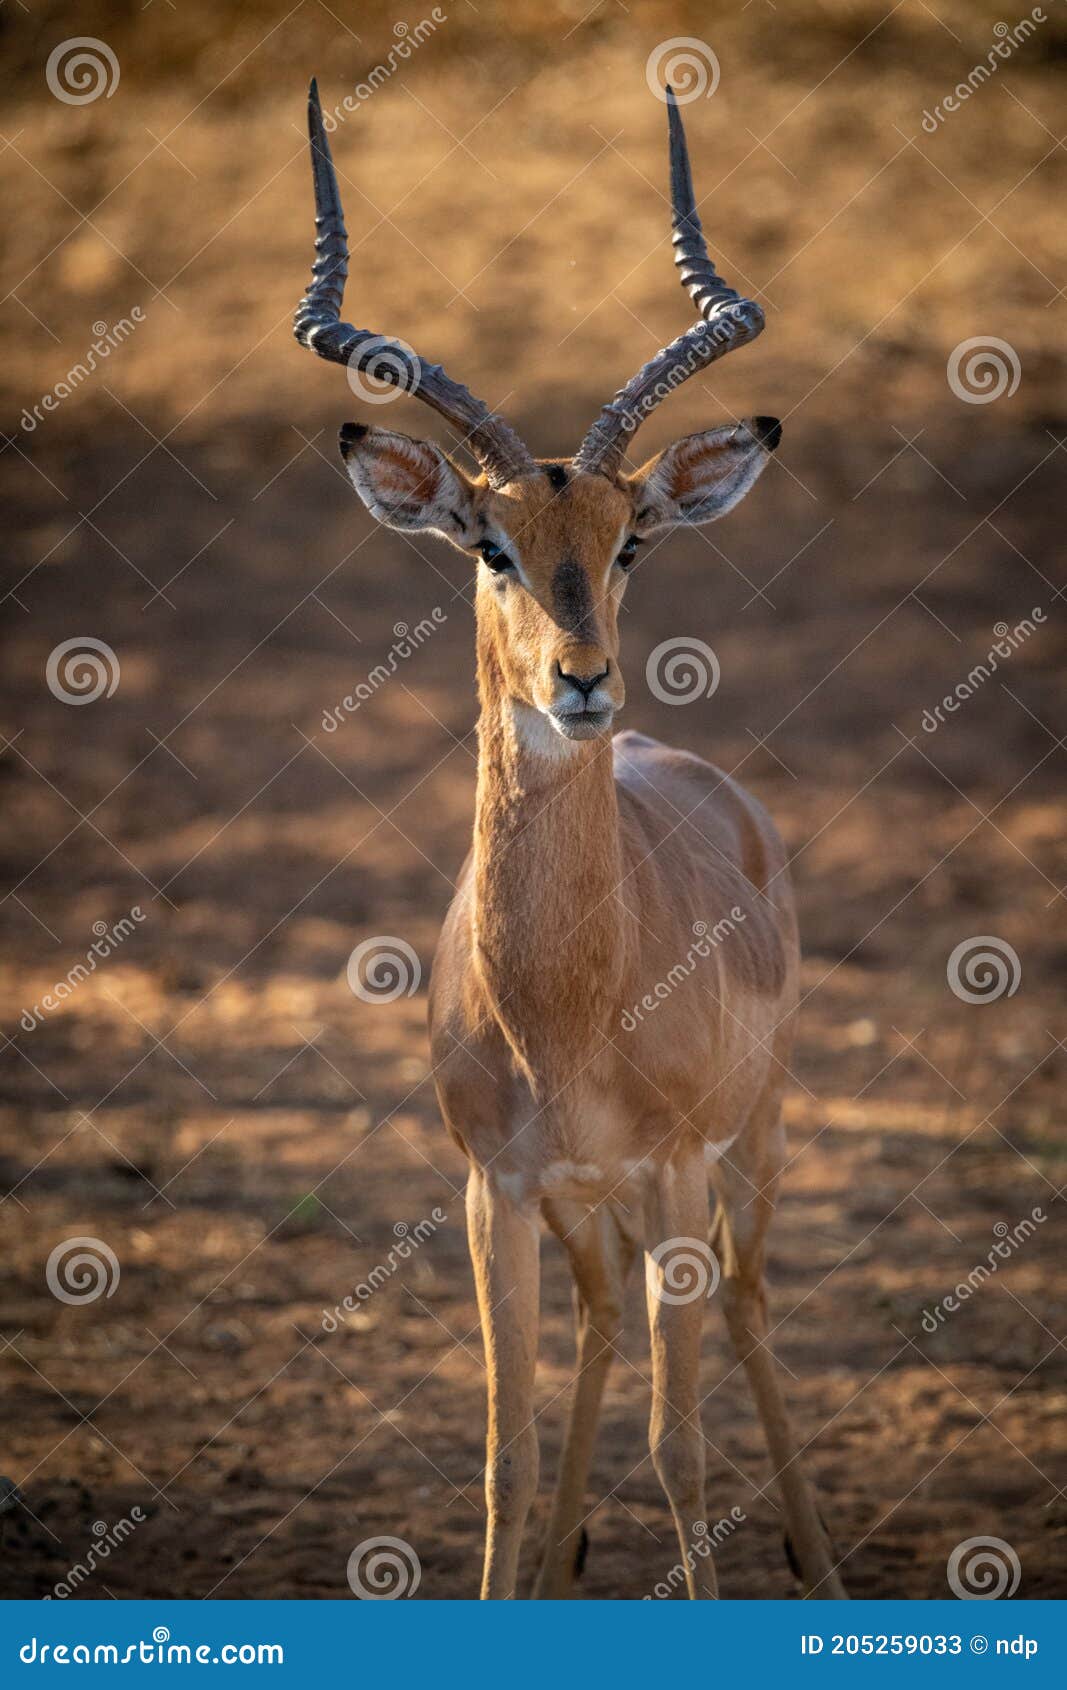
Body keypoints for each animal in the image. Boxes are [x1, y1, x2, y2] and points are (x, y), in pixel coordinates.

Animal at [294, 78, 846, 1601]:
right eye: (486, 544)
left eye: (627, 542)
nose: (582, 681)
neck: (568, 1003)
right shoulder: (495, 1187)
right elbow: (506, 1454)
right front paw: (524, 1552)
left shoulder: (671, 1169)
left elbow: (680, 1449)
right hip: (582, 1210)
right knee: (601, 1326)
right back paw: (561, 1564)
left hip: (749, 1145)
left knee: (753, 1309)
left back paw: (818, 1559)